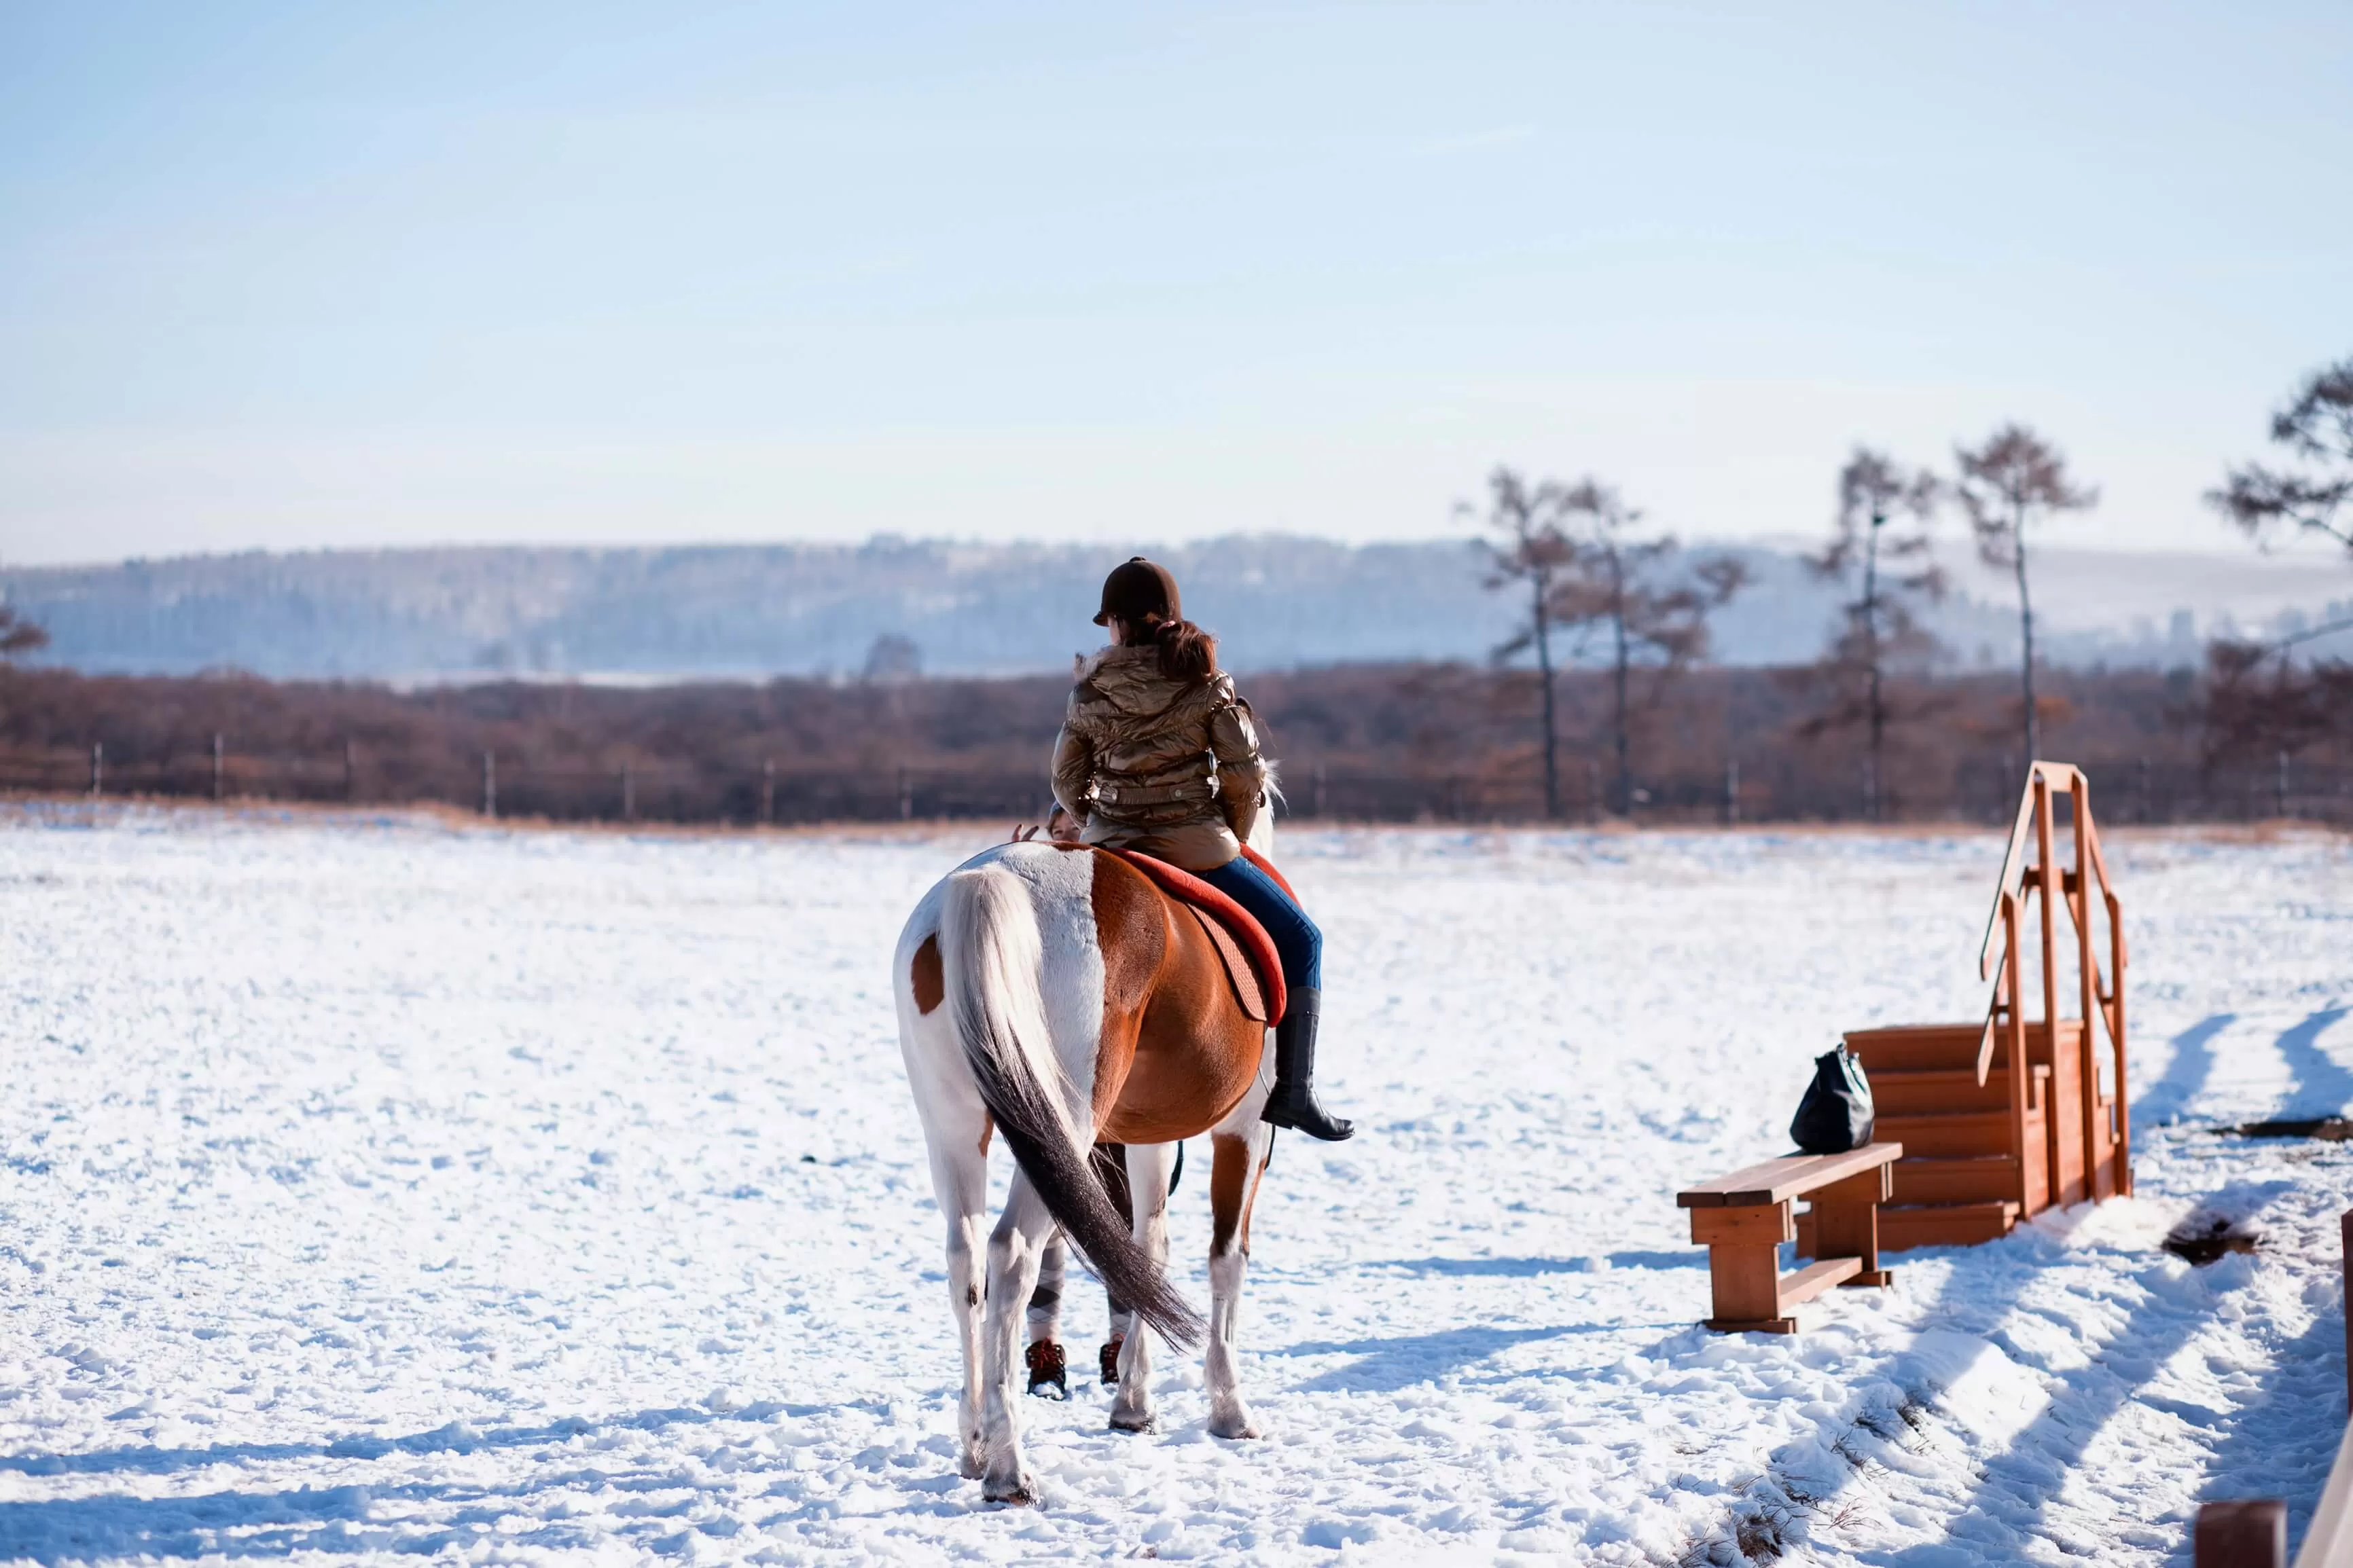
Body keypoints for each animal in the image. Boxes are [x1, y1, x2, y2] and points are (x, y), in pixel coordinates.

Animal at [889, 827, 1280, 1504]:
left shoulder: (1149, 1135)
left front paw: (1134, 1401)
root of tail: (992, 881)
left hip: (954, 1122)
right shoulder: (1246, 1126)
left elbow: (1146, 1250)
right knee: (1013, 1253)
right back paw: (1009, 1468)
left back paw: (975, 1446)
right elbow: (1226, 1258)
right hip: (1065, 1120)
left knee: (966, 1258)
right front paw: (1229, 1409)